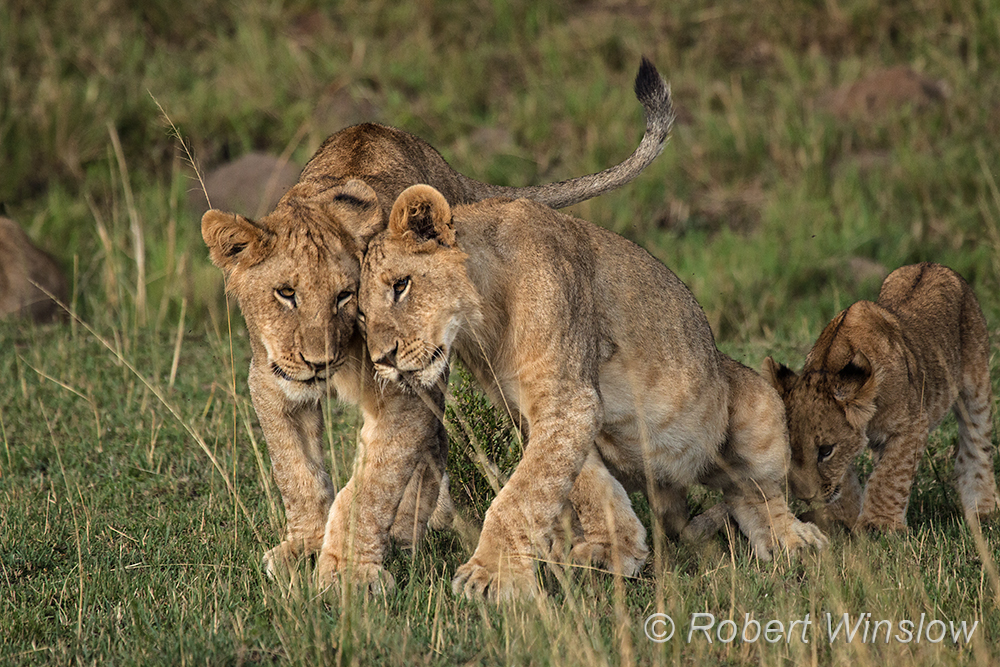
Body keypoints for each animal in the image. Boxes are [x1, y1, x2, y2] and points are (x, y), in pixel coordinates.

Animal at [201, 58, 674, 591]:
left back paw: (408, 533)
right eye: (286, 294)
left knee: (431, 450)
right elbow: (295, 471)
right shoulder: (270, 380)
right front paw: (304, 546)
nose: (319, 362)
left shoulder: (407, 389)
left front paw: (351, 571)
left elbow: (375, 481)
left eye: (345, 297)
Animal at [358, 184, 828, 600]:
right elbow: (582, 483)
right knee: (734, 495)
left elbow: (520, 496)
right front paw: (615, 550)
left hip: (758, 405)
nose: (382, 359)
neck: (481, 319)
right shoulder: (539, 408)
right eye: (361, 314)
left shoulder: (568, 400)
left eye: (401, 285)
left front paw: (490, 576)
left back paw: (795, 540)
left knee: (760, 491)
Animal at [764, 263, 998, 533]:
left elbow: (890, 476)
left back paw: (983, 508)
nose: (805, 497)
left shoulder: (912, 424)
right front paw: (844, 518)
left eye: (825, 451)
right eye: (789, 449)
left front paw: (879, 524)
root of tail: (932, 264)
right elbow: (849, 479)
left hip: (976, 383)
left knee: (976, 446)